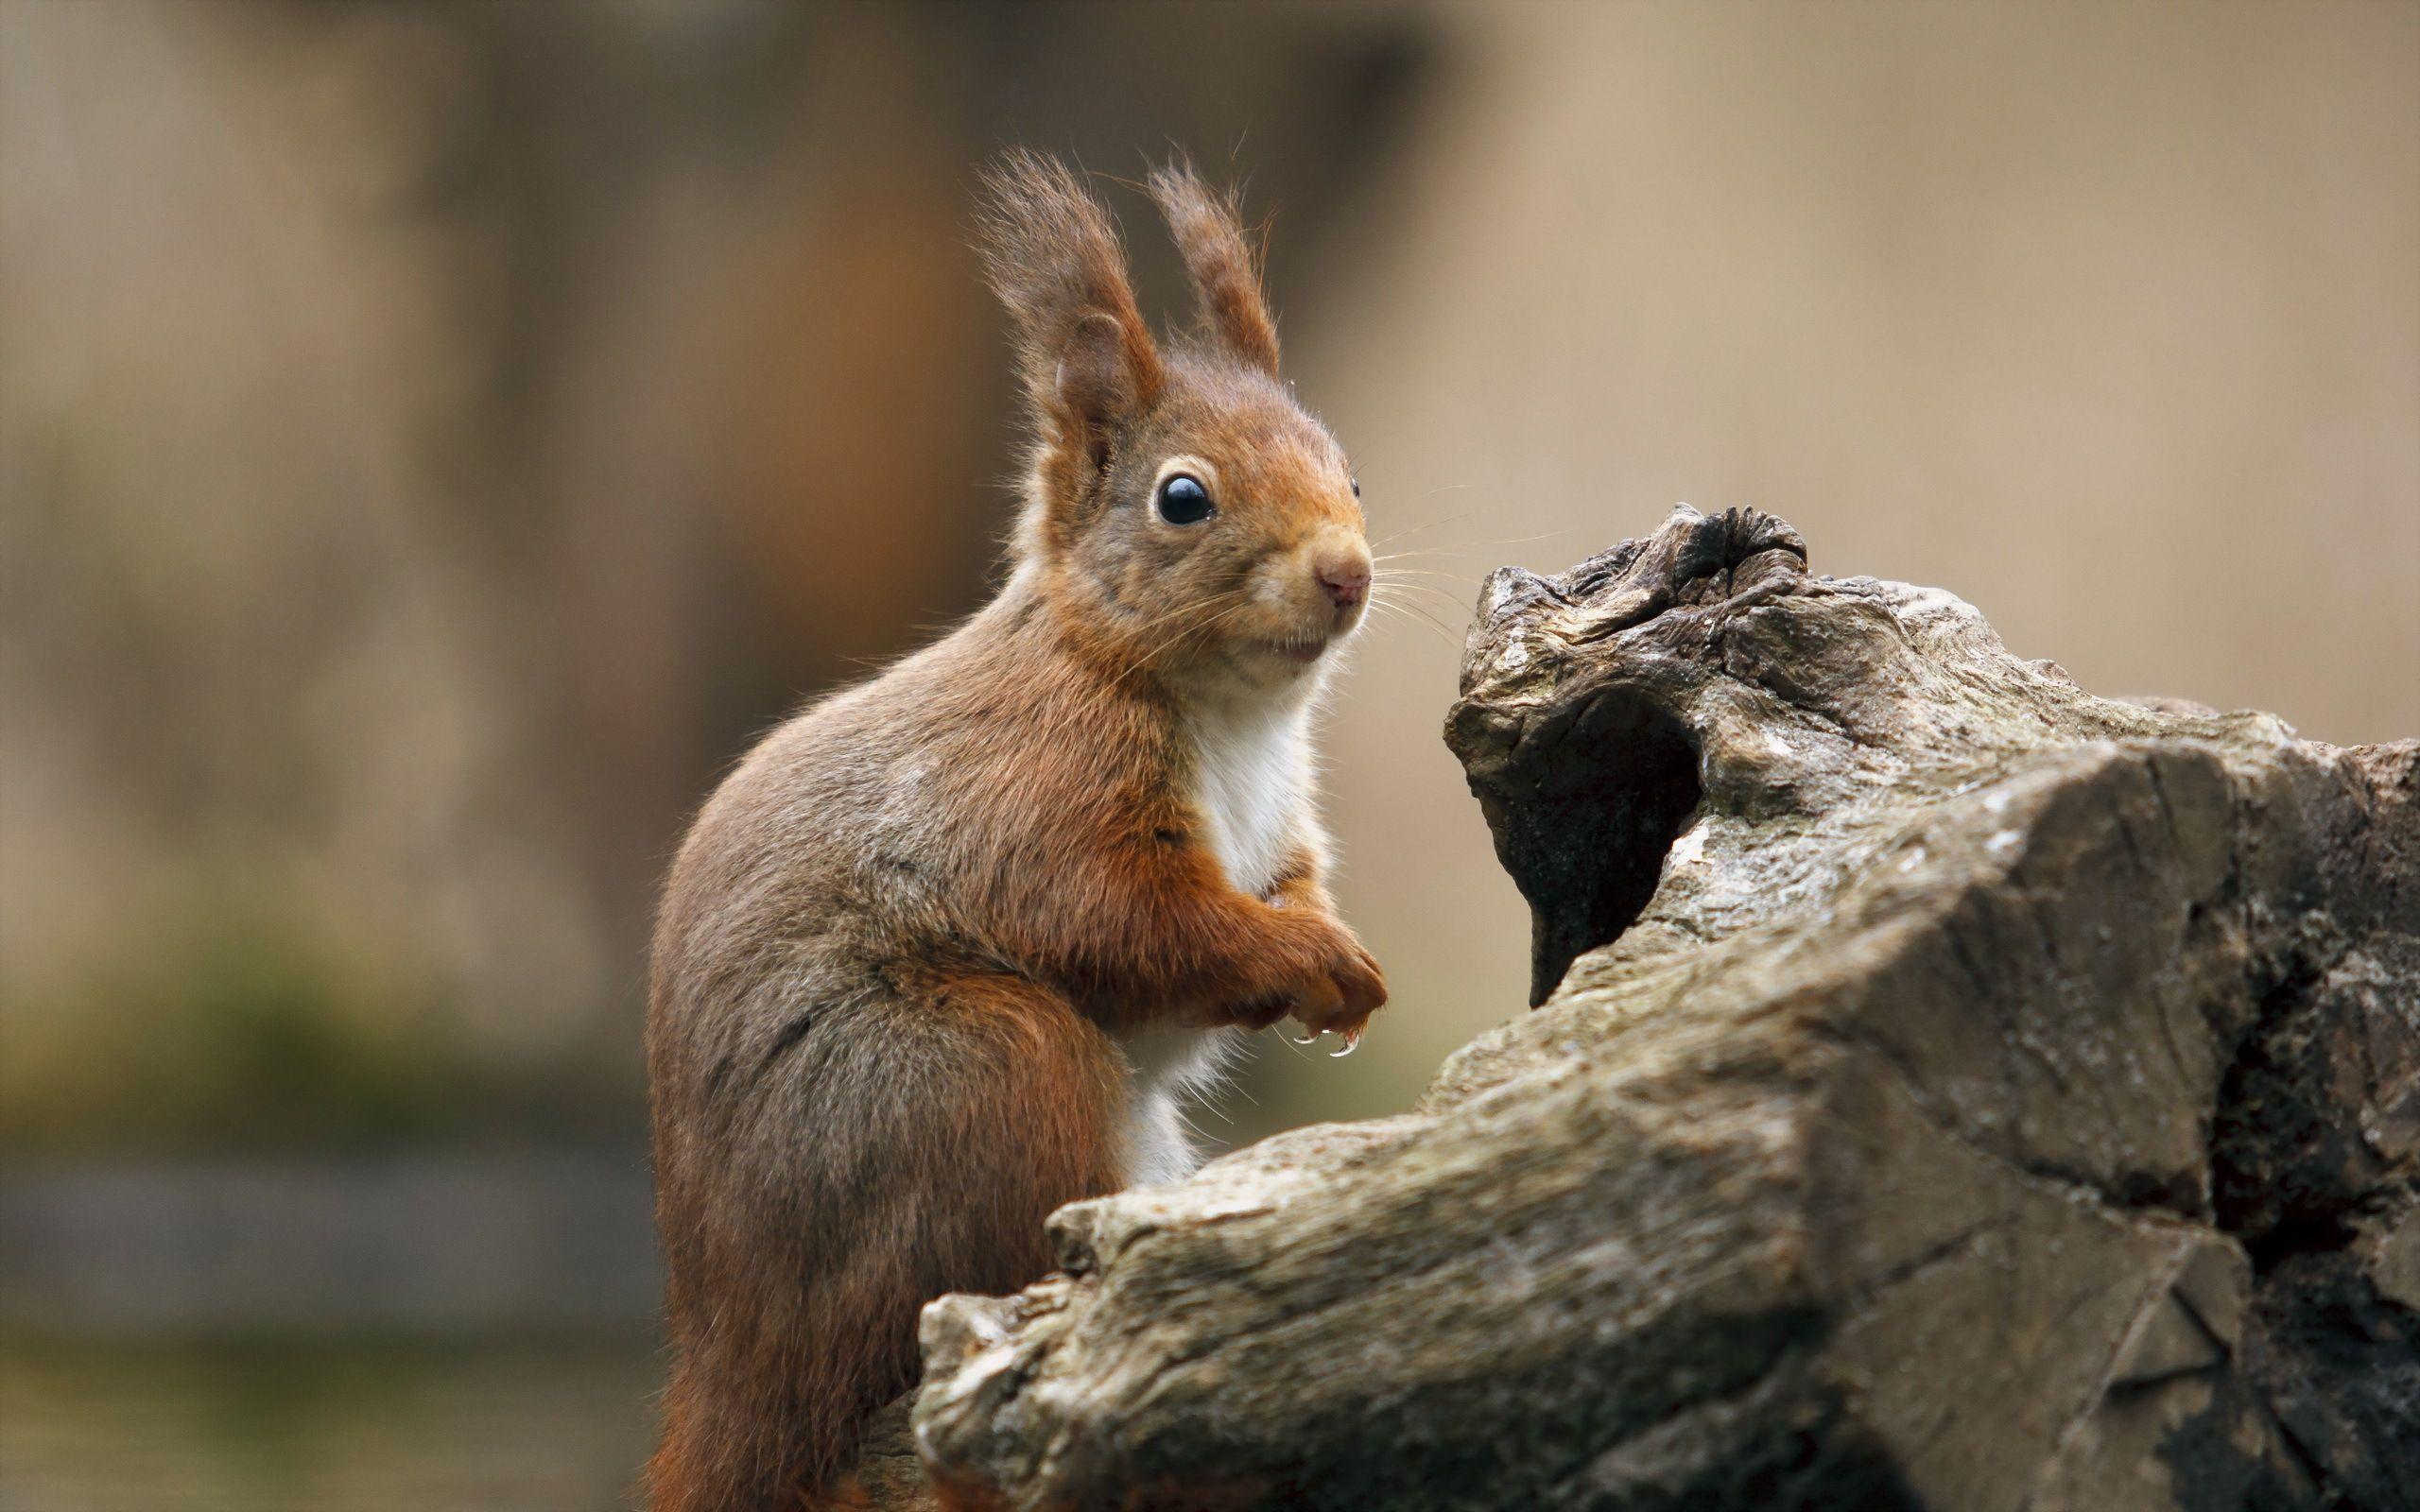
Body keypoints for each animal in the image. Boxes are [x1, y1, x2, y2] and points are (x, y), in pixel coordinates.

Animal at [643, 152, 1388, 1511]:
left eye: (1348, 473)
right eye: (1183, 499)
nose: (1346, 574)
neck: (1230, 713)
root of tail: (736, 1363)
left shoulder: (1280, 828)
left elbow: (1285, 886)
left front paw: (1337, 965)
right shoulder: (1035, 794)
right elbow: (1127, 923)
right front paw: (1306, 961)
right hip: (975, 1073)